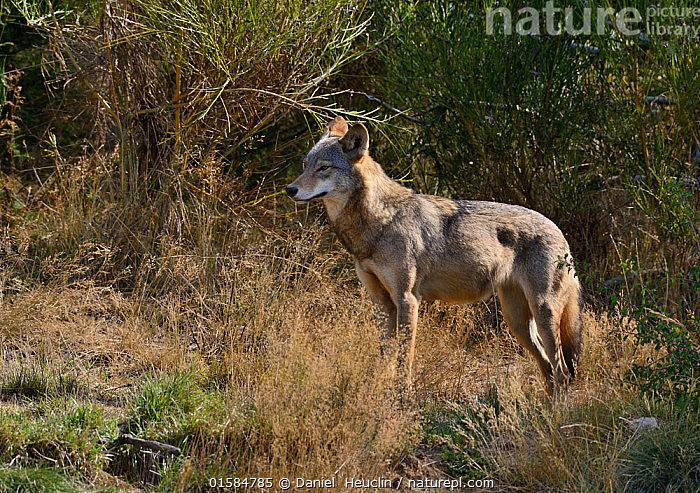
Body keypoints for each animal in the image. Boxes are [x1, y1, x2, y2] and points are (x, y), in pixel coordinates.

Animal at [286, 116, 583, 396]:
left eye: (324, 167)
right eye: (305, 165)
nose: (290, 190)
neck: (378, 224)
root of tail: (560, 232)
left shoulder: (408, 299)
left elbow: (404, 358)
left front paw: (402, 397)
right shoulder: (381, 302)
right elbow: (386, 357)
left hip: (541, 314)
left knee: (563, 371)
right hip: (517, 322)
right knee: (549, 369)